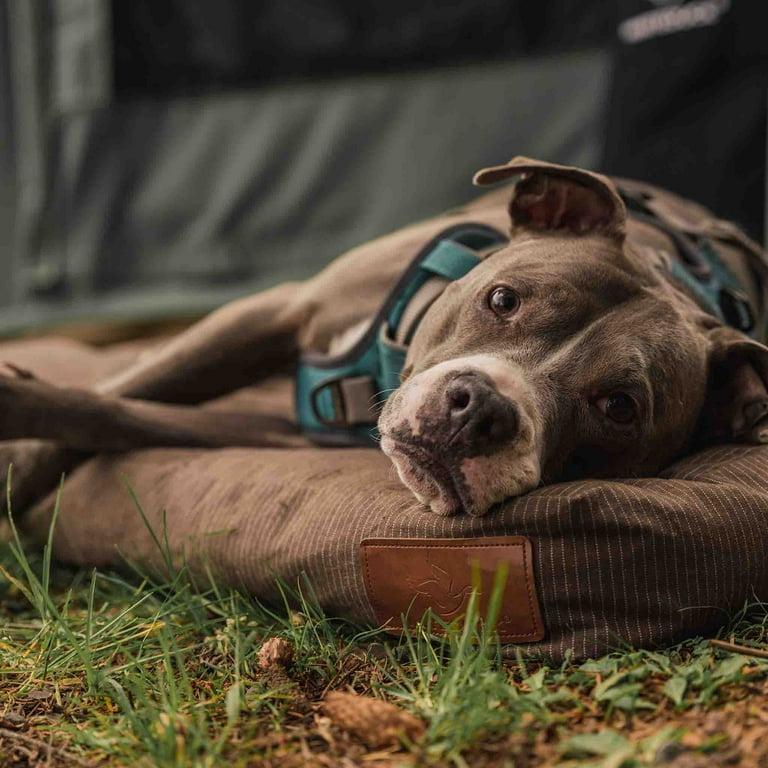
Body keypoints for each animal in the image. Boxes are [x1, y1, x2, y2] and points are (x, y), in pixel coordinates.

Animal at [1, 156, 768, 516]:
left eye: (620, 408)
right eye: (503, 299)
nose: (479, 411)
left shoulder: (284, 431)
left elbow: (123, 416)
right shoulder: (275, 314)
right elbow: (115, 400)